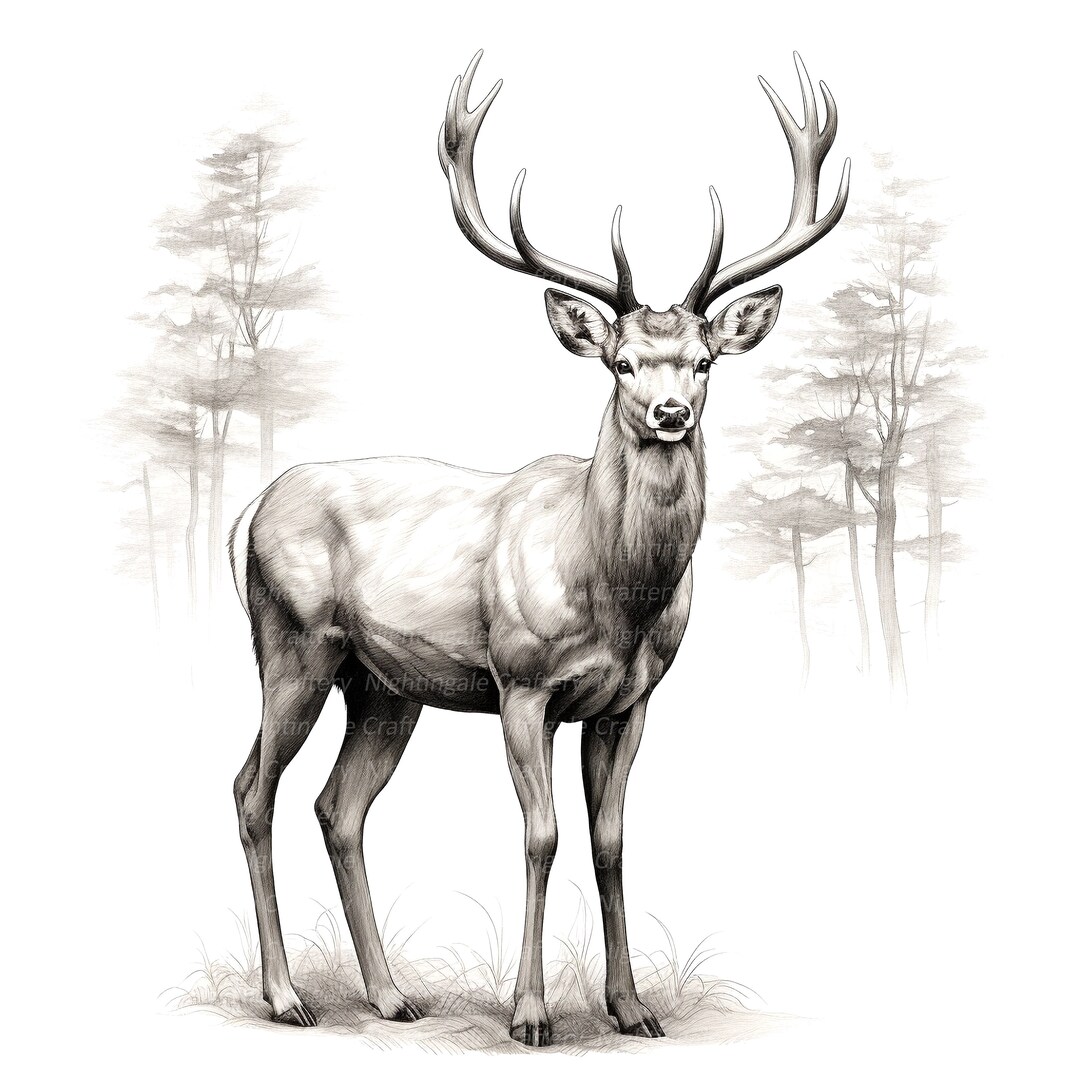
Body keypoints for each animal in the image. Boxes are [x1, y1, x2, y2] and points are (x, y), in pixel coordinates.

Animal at [228, 50, 848, 1046]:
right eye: (621, 363)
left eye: (704, 363)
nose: (669, 413)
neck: (615, 593)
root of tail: (248, 508)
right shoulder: (521, 685)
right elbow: (543, 834)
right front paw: (530, 1014)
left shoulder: (632, 699)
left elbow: (610, 839)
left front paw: (632, 1008)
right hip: (292, 645)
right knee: (253, 788)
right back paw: (286, 998)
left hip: (385, 688)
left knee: (339, 807)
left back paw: (392, 995)